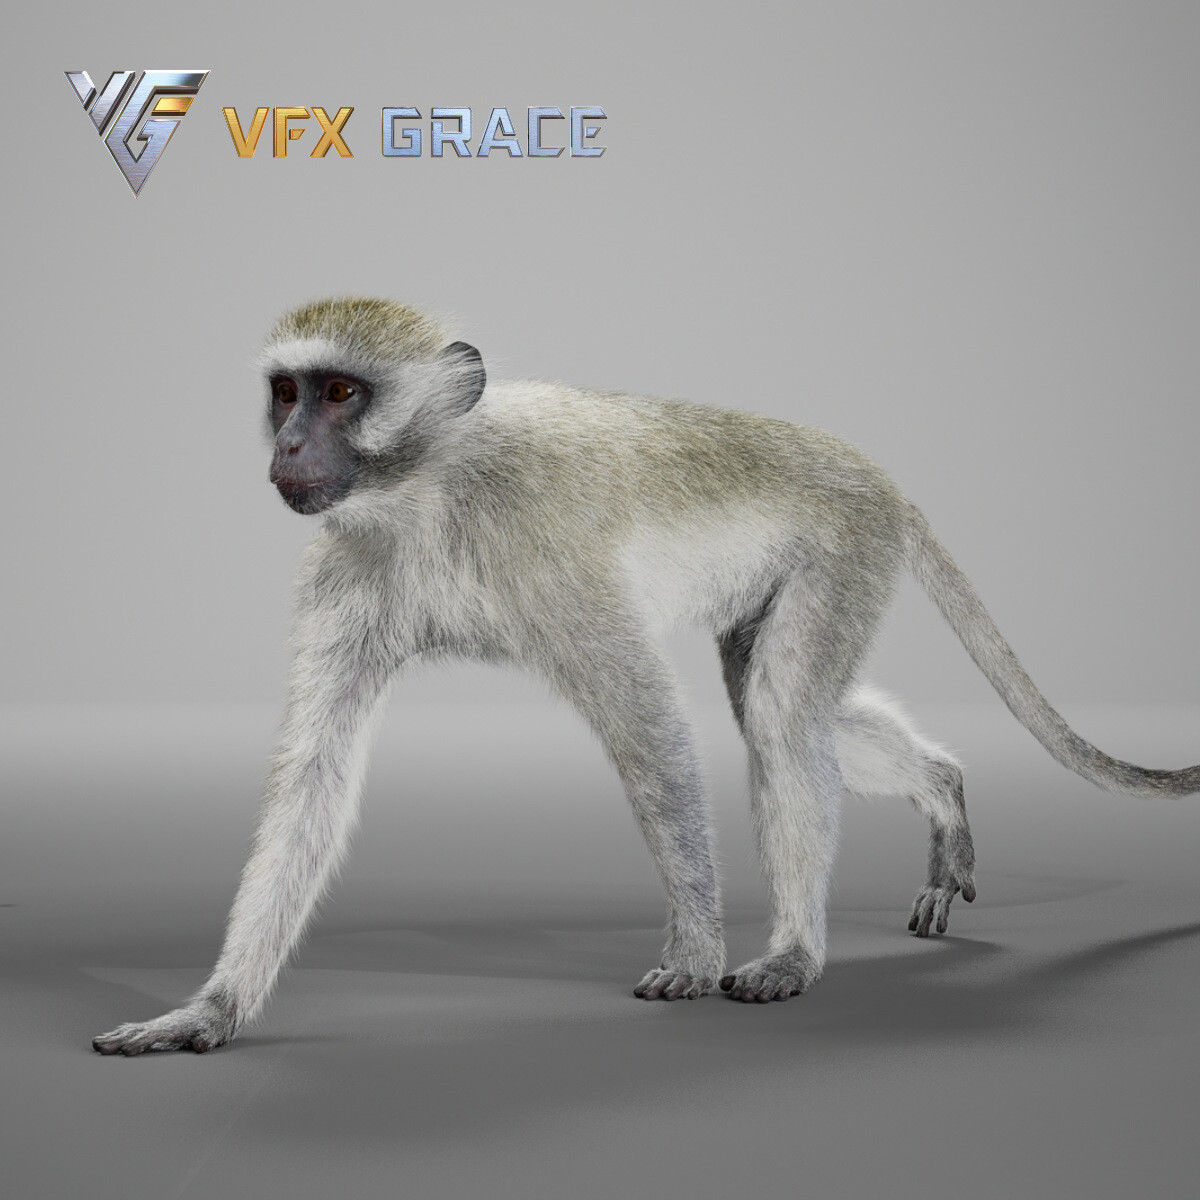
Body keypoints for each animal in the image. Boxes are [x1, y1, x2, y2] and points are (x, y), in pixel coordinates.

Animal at [92, 297, 1198, 1054]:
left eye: (338, 393)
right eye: (286, 392)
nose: (286, 441)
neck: (432, 485)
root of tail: (877, 476)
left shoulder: (548, 554)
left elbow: (650, 730)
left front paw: (697, 954)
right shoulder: (346, 569)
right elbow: (313, 781)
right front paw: (212, 1009)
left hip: (845, 549)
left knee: (782, 715)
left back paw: (796, 953)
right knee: (778, 705)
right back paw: (944, 788)